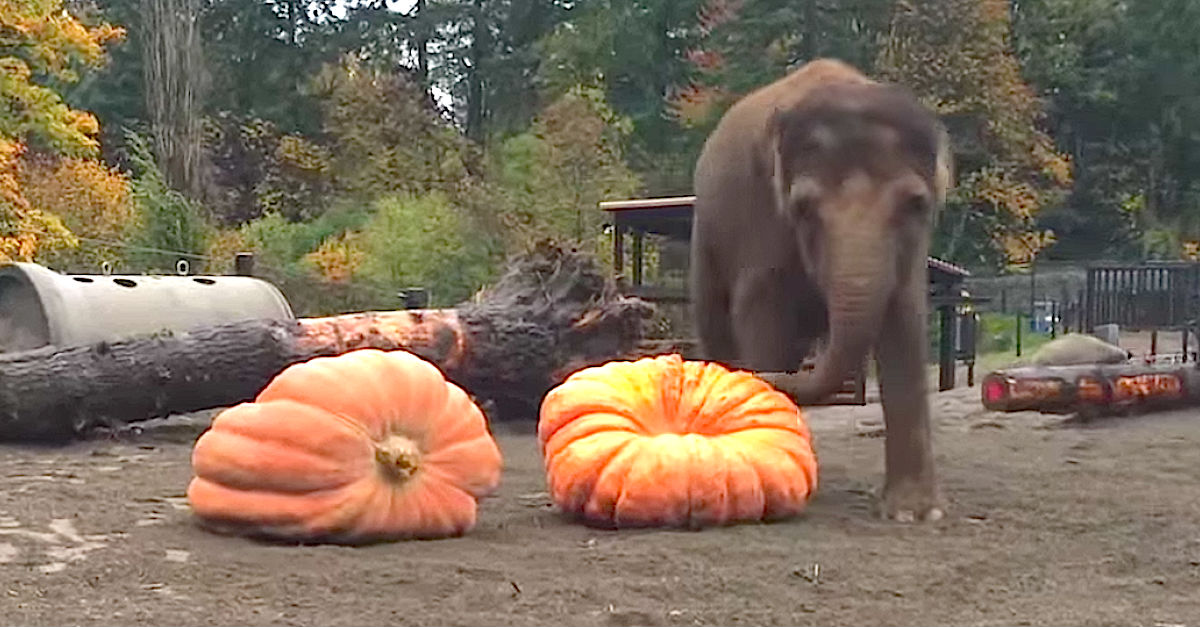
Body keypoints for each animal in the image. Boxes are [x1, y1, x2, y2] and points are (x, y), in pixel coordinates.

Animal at [689, 58, 953, 523]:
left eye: (916, 205)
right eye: (804, 209)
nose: (754, 376)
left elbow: (904, 320)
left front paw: (914, 513)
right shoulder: (760, 222)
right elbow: (761, 314)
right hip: (706, 240)